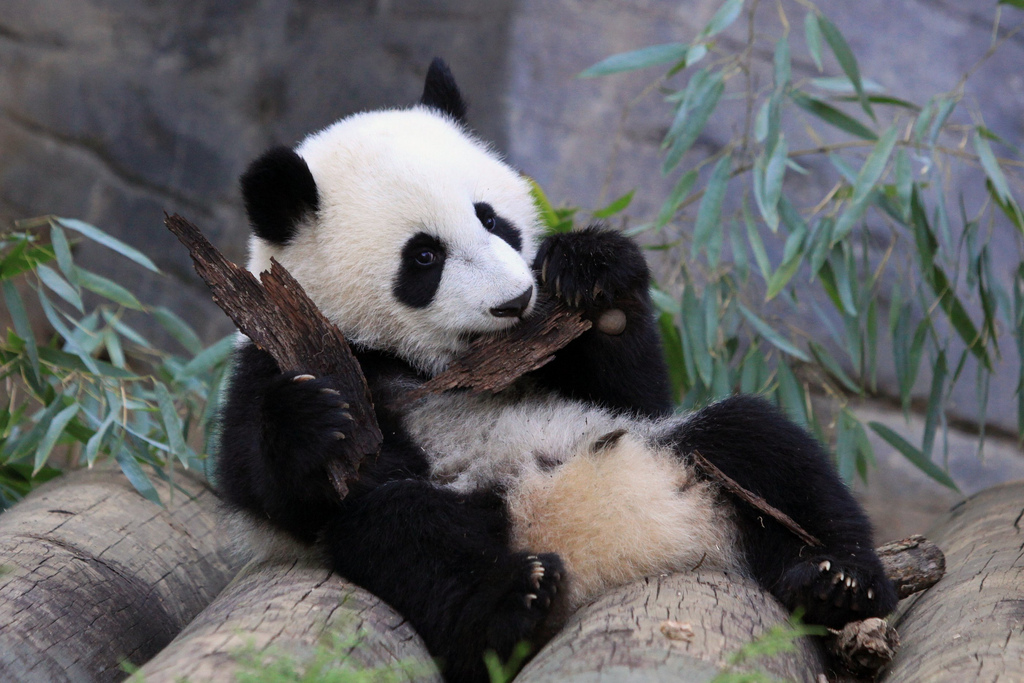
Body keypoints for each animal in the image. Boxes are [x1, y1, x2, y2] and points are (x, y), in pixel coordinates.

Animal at [216, 59, 897, 683]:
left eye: (492, 219)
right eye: (424, 257)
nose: (515, 301)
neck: (437, 365)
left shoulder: (559, 364)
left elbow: (637, 391)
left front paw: (593, 270)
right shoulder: (286, 345)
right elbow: (265, 486)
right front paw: (309, 416)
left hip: (670, 448)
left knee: (762, 445)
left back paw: (838, 580)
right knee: (399, 528)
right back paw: (517, 601)